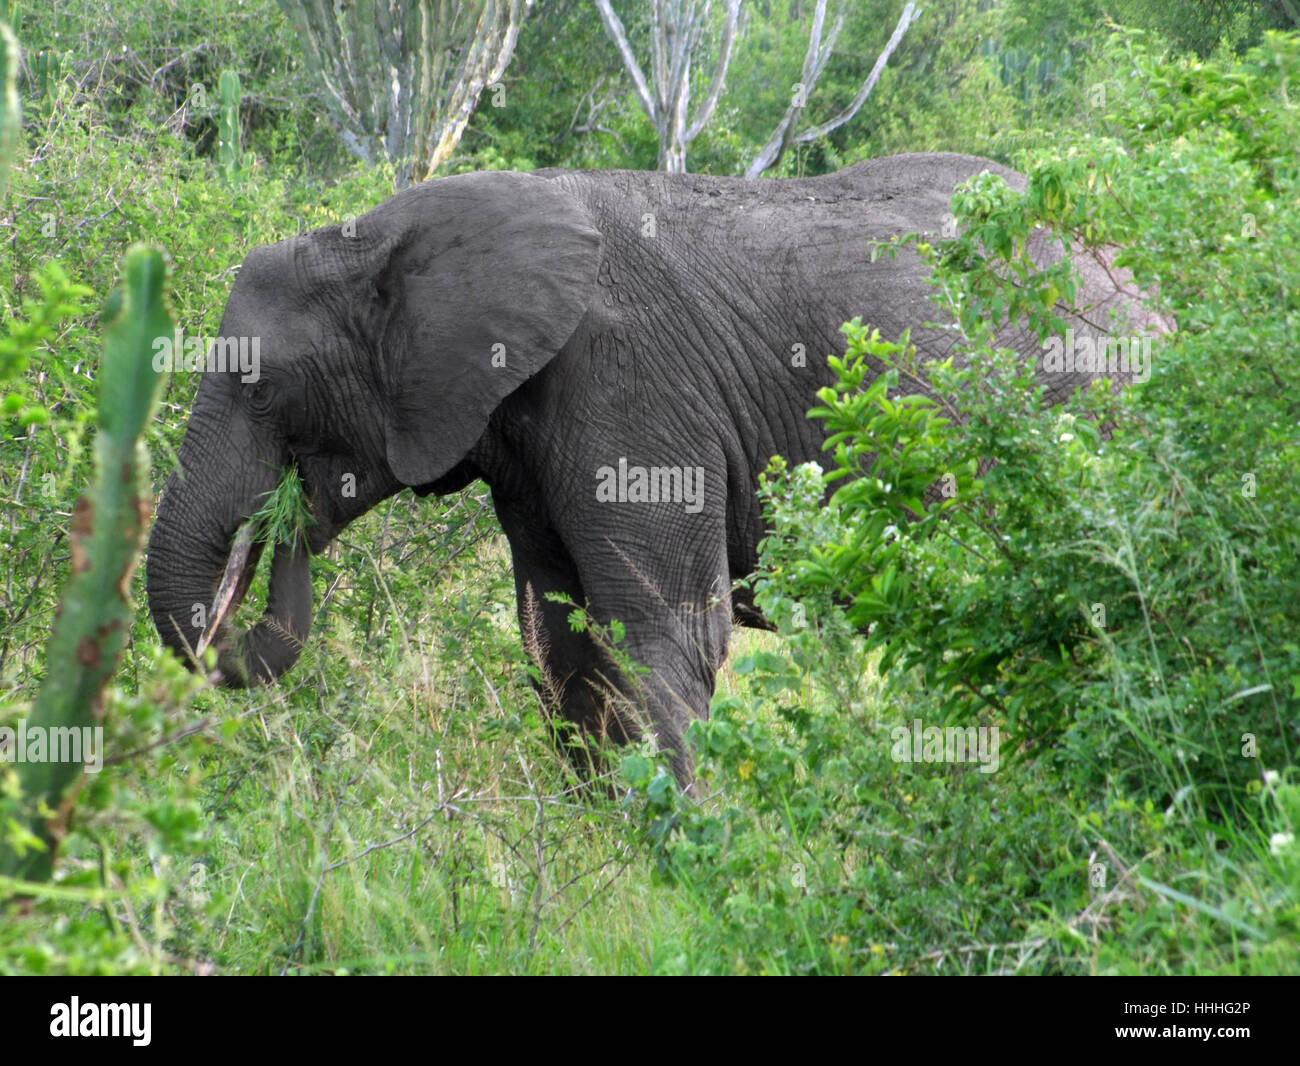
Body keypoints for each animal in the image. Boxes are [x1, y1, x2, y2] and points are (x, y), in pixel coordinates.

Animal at [146, 152, 1156, 784]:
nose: (282, 518)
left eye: (263, 390)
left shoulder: (628, 386)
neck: (378, 234)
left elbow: (658, 633)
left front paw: (686, 866)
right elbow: (559, 646)